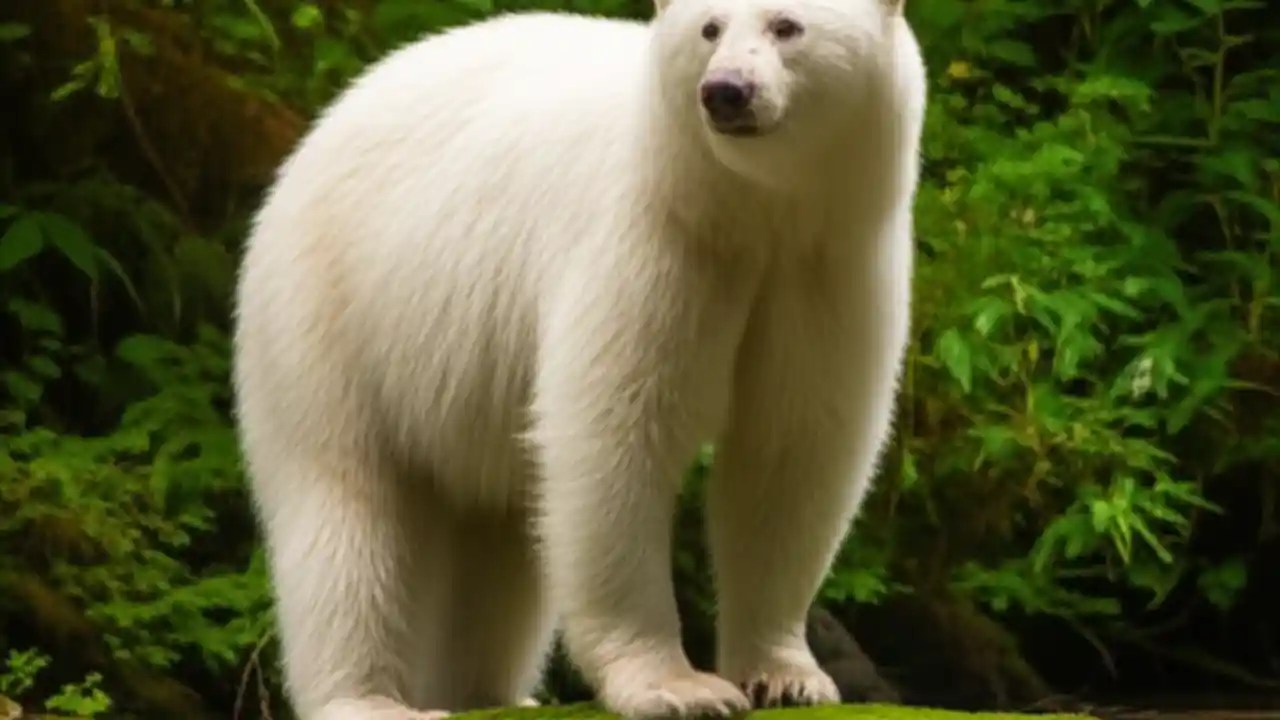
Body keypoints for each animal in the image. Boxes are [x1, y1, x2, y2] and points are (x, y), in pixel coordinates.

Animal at [230, 0, 926, 717]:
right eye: (709, 28)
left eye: (787, 26)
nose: (725, 91)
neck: (748, 212)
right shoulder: (654, 239)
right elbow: (617, 433)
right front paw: (676, 686)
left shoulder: (828, 263)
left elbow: (792, 449)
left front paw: (786, 676)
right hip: (331, 314)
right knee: (347, 506)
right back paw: (369, 698)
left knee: (502, 528)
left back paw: (498, 691)